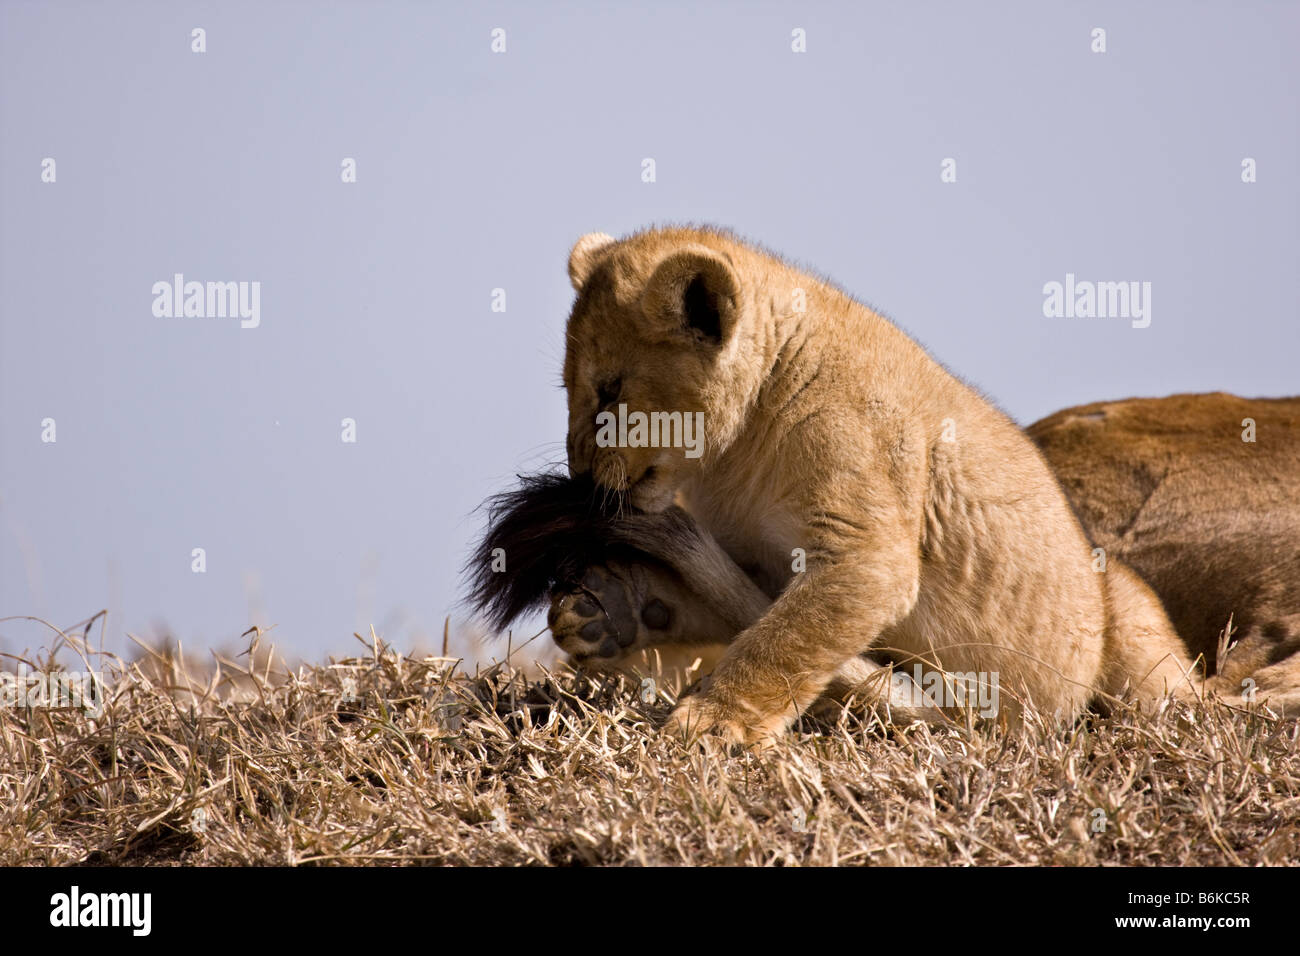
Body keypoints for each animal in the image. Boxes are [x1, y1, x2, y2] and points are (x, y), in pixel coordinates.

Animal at [531, 225, 1238, 744]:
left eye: (610, 391)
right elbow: (738, 610)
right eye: (567, 386)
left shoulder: (868, 551)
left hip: (1131, 625)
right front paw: (605, 611)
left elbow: (782, 641)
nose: (579, 477)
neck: (737, 456)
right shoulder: (755, 561)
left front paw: (714, 723)